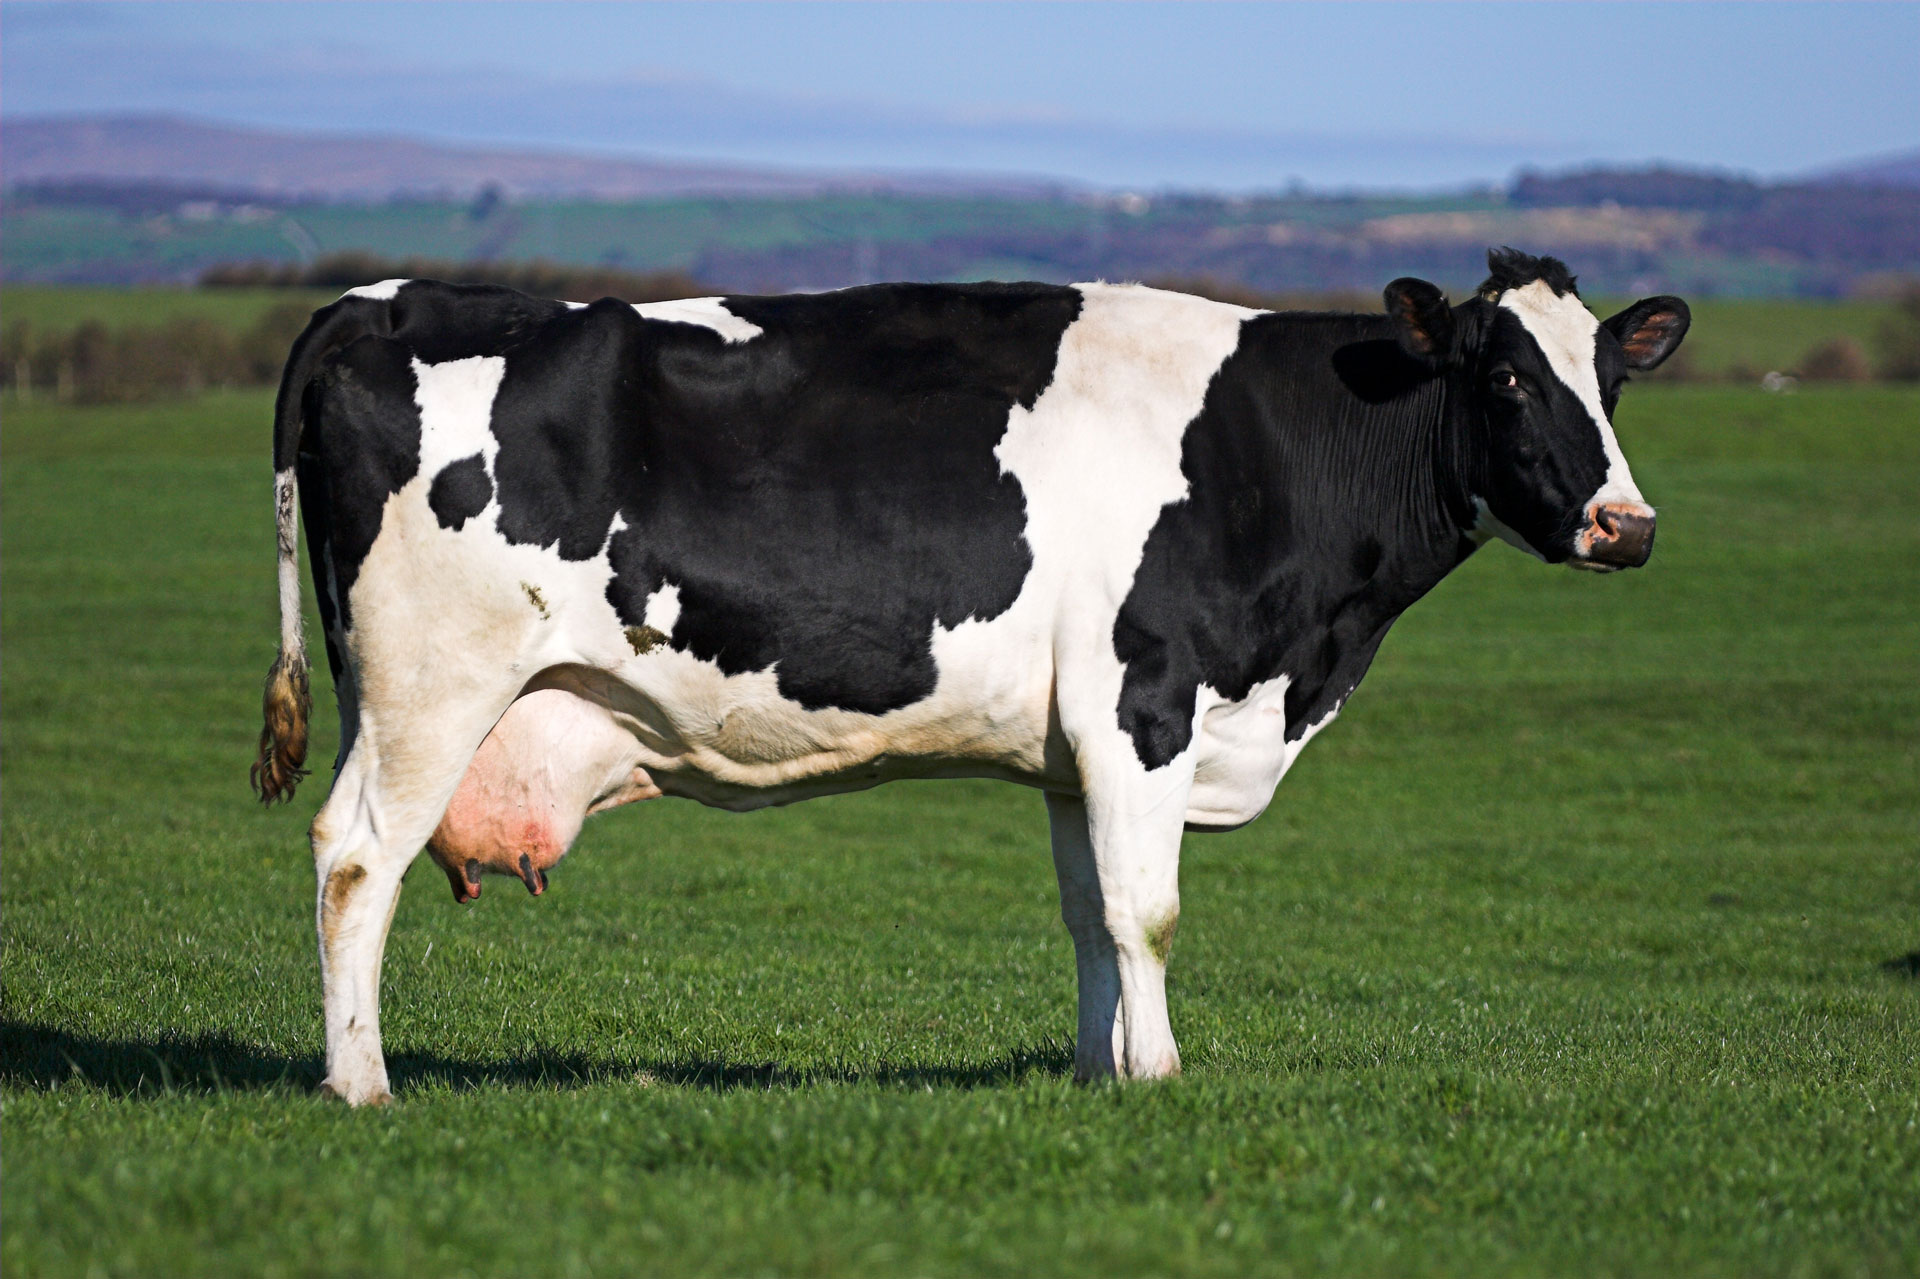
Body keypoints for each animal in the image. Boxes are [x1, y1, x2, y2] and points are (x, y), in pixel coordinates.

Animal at [253, 248, 1689, 1106]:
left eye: (1612, 381)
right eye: (1506, 377)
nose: (1626, 524)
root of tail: (382, 296)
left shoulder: (1078, 744)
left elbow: (1092, 914)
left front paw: (1099, 1074)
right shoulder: (1143, 699)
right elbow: (1150, 910)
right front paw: (1162, 1077)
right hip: (431, 684)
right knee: (355, 857)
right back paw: (360, 1084)